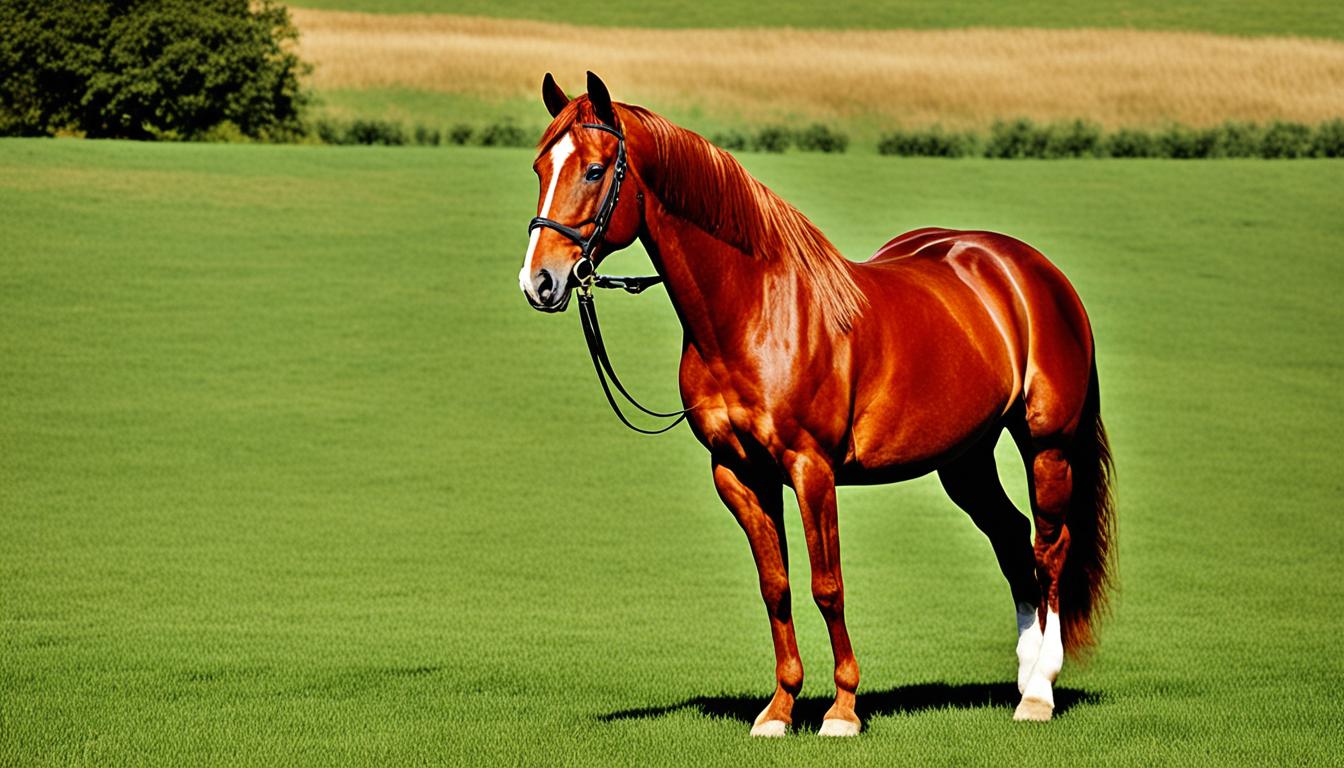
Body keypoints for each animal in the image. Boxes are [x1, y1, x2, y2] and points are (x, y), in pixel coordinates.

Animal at [517, 72, 1115, 736]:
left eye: (596, 170)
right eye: (541, 166)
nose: (539, 281)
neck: (755, 309)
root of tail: (1031, 270)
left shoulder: (812, 470)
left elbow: (828, 585)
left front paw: (843, 710)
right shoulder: (739, 473)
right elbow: (775, 585)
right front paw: (779, 710)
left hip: (1047, 444)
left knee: (1049, 549)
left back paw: (1039, 691)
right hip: (964, 459)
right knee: (1012, 540)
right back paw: (1024, 675)